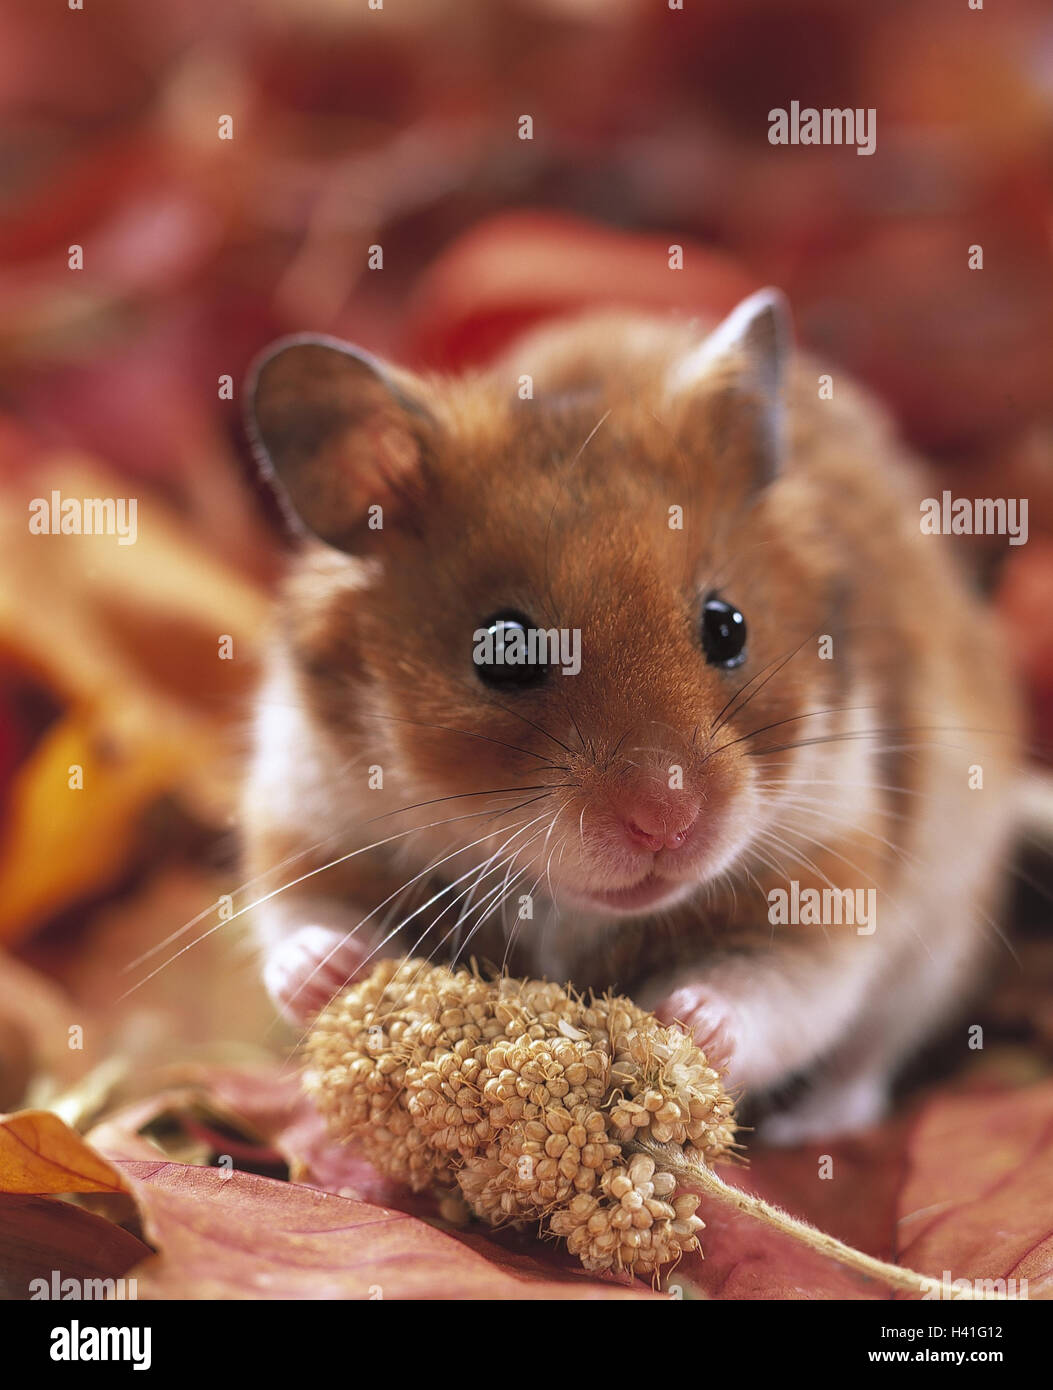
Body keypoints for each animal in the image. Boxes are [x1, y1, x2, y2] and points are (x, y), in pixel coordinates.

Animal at [241, 290, 1022, 1143]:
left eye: (727, 627)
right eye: (502, 649)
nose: (666, 823)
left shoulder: (824, 875)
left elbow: (774, 992)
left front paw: (681, 1023)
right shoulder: (306, 823)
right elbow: (303, 923)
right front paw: (331, 973)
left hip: (937, 935)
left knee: (866, 1059)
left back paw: (809, 1126)